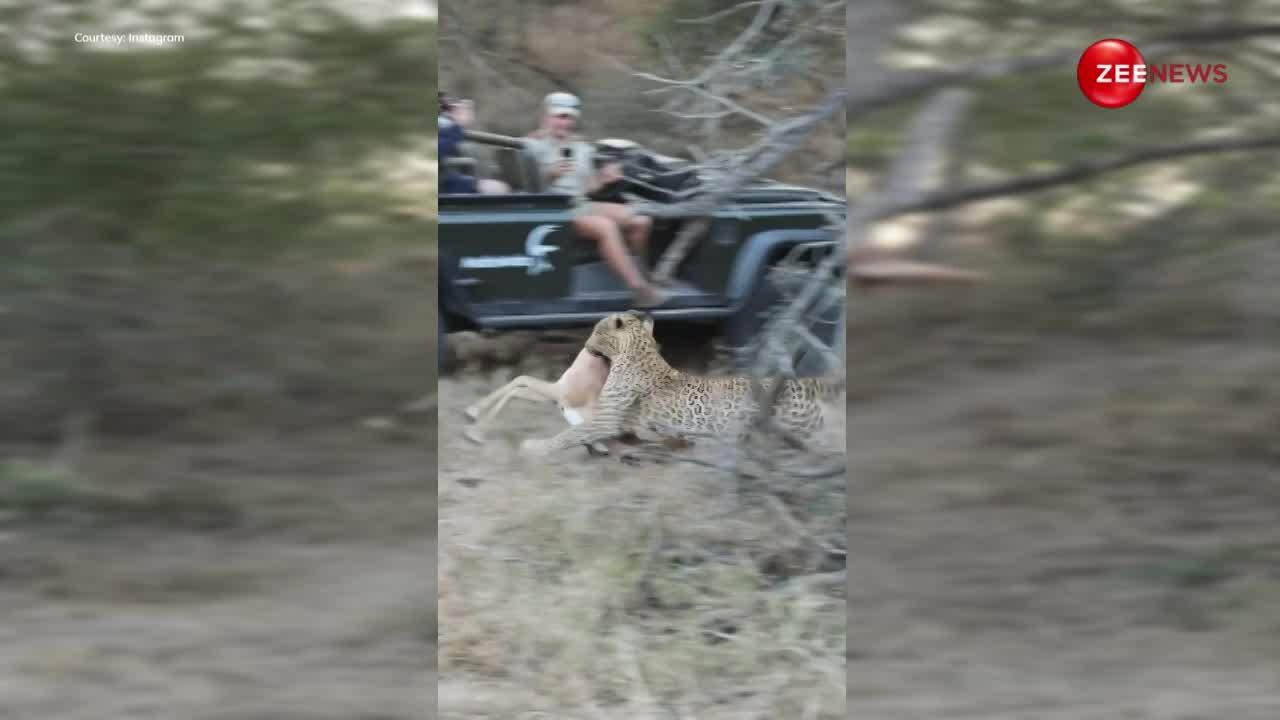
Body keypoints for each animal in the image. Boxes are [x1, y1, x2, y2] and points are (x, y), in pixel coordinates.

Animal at [519, 310, 842, 457]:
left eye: (597, 331)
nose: (585, 345)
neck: (638, 350)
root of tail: (804, 382)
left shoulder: (606, 418)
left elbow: (568, 435)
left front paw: (534, 447)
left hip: (803, 427)